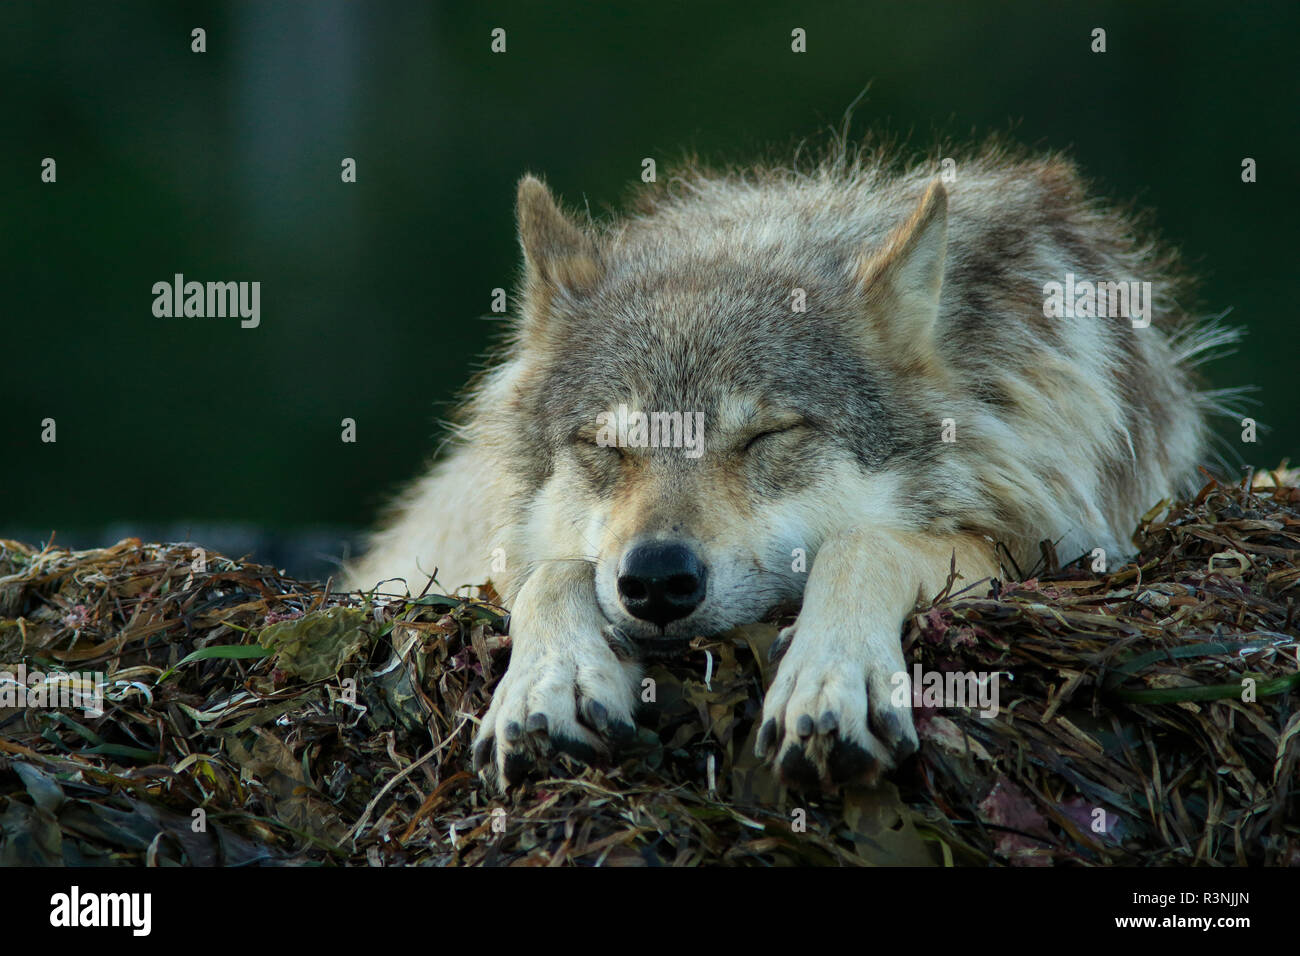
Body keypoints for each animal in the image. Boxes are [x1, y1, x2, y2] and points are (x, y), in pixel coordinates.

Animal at [348, 140, 1236, 789]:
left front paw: (831, 680)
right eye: (608, 447)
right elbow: (550, 574)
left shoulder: (1047, 542)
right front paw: (547, 681)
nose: (656, 580)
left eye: (766, 436)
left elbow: (863, 545)